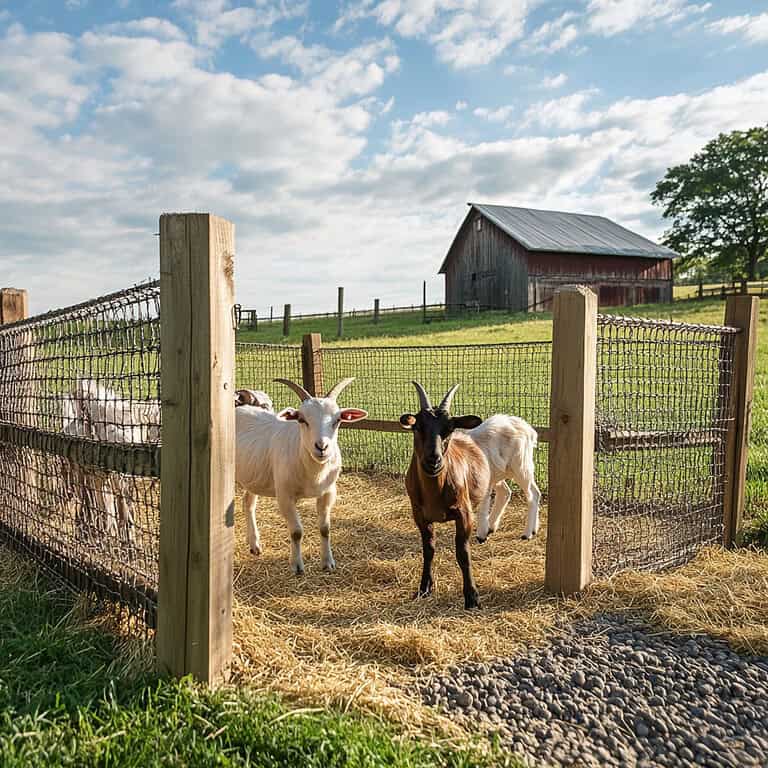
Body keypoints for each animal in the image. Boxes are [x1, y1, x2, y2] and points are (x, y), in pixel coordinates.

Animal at [235, 377, 367, 574]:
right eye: (301, 419)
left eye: (337, 420)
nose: (321, 447)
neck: (314, 473)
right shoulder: (285, 496)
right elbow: (297, 532)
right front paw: (297, 567)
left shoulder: (329, 492)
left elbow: (325, 528)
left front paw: (328, 563)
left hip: (253, 474)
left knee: (248, 503)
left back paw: (254, 545)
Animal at [400, 381, 489, 609]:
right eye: (417, 426)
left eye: (449, 428)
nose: (434, 460)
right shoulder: (420, 516)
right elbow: (428, 550)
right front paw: (424, 588)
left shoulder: (464, 513)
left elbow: (463, 554)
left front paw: (472, 597)